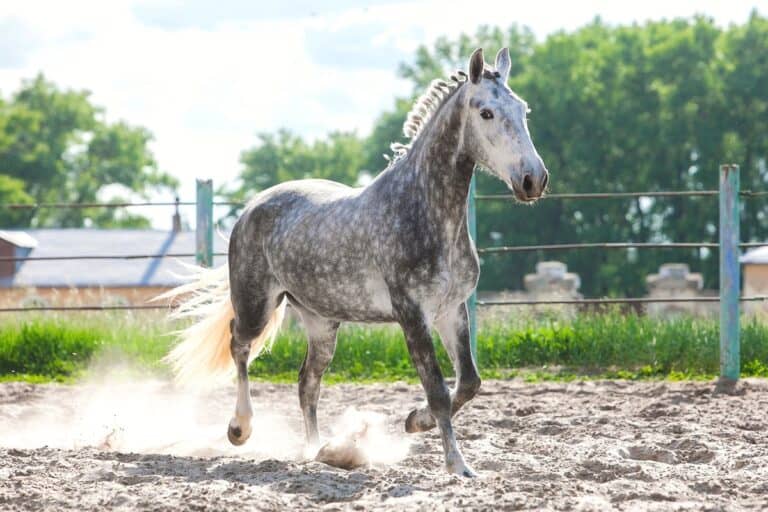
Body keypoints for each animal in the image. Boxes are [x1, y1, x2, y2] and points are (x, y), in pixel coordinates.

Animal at [161, 47, 548, 477]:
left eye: (523, 110)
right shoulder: (412, 315)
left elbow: (468, 382)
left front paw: (414, 422)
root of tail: (250, 209)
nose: (533, 180)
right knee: (239, 344)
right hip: (256, 305)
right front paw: (457, 465)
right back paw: (240, 429)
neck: (421, 208)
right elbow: (438, 390)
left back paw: (317, 451)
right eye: (486, 113)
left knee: (307, 382)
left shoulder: (452, 310)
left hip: (321, 322)